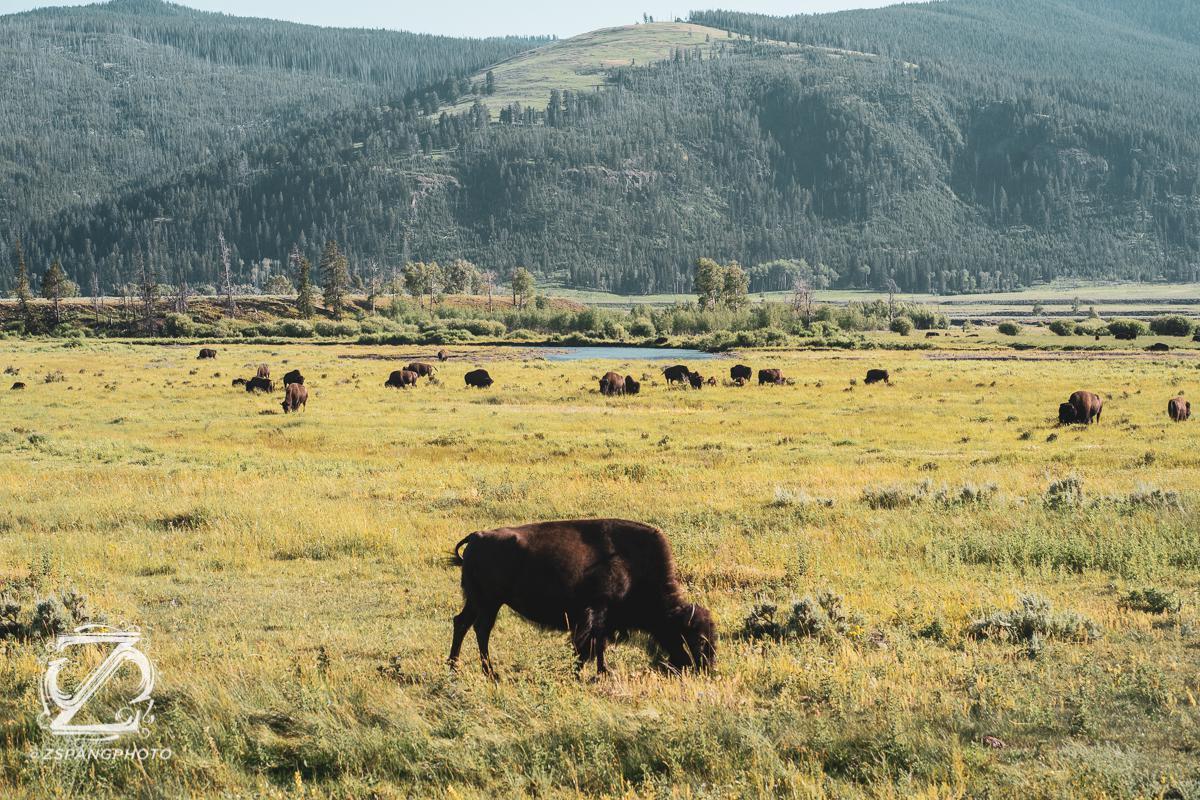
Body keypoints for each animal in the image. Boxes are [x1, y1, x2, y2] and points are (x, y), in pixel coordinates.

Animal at [448, 519, 716, 679]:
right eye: (699, 640)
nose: (707, 669)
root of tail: (476, 536)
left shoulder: (603, 619)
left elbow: (599, 645)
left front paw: (602, 672)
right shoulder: (596, 612)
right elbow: (589, 645)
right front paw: (584, 673)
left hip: (476, 601)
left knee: (461, 623)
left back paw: (454, 667)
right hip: (489, 602)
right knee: (481, 630)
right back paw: (490, 673)